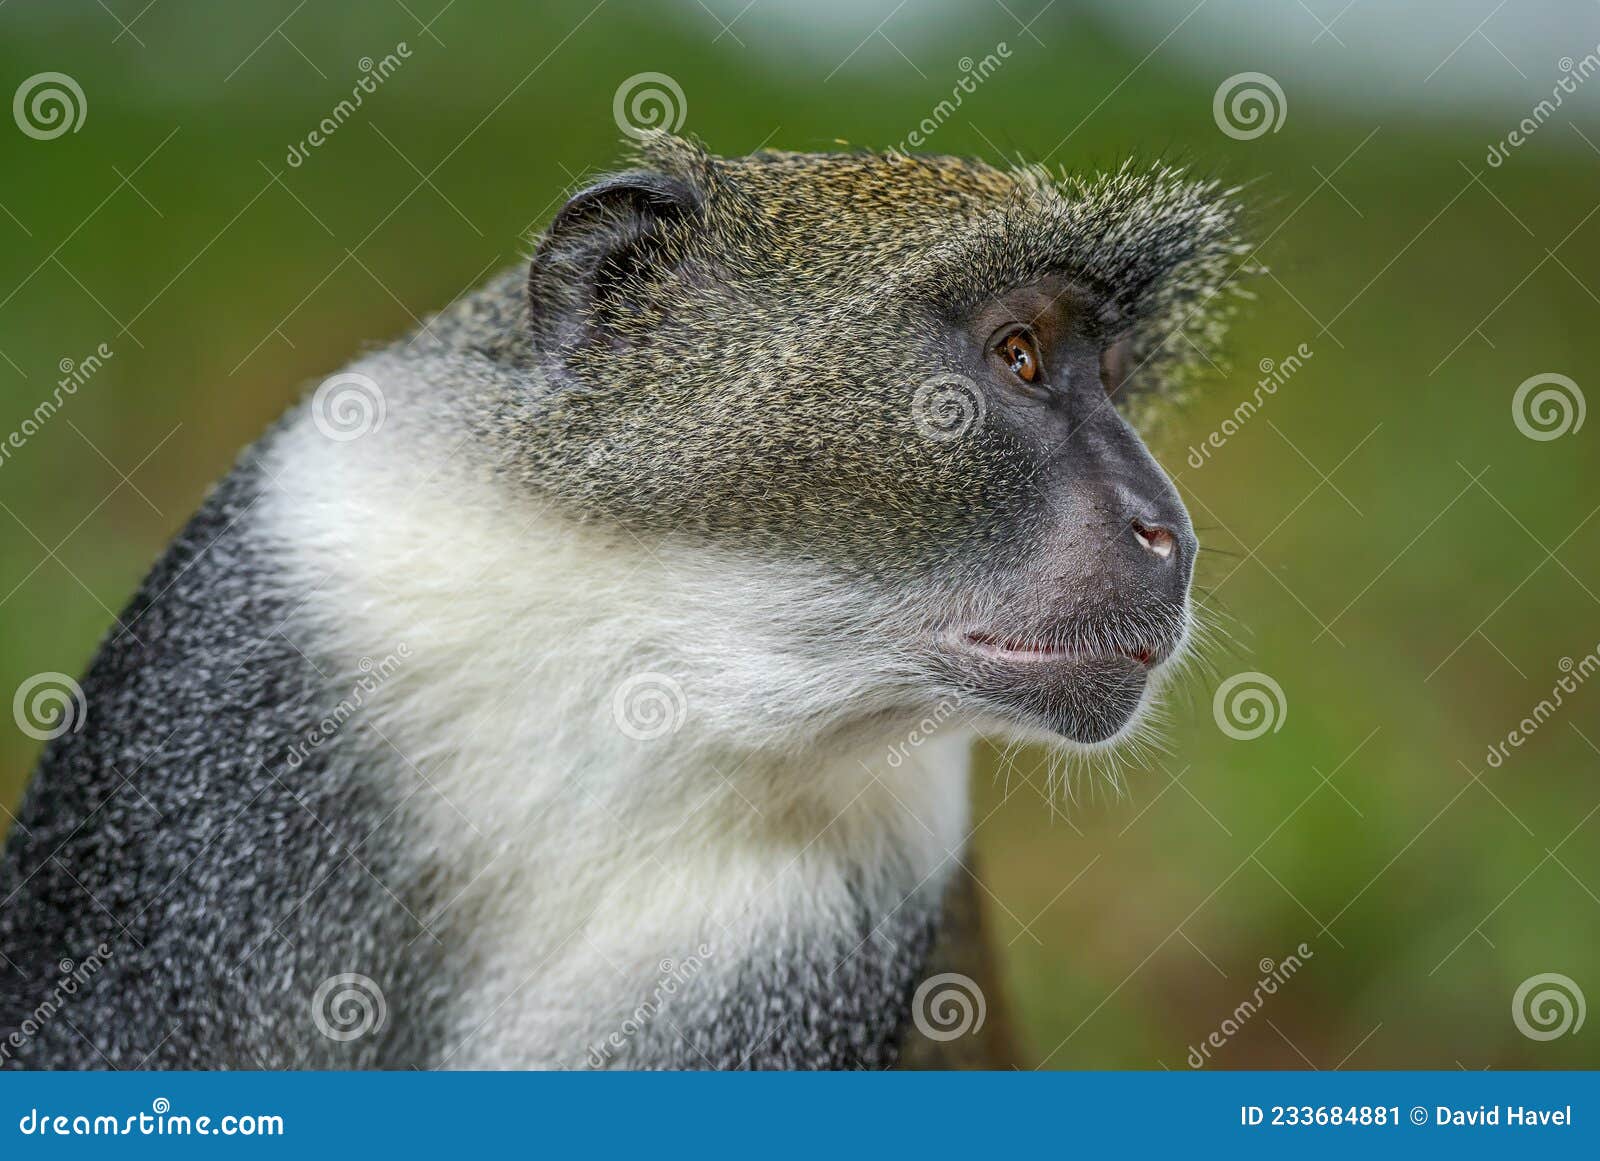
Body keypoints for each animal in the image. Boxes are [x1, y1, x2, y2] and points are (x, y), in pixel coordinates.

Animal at [0, 133, 1244, 1070]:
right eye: (1021, 354)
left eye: (1110, 374)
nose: (1168, 532)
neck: (648, 655)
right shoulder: (269, 622)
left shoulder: (817, 914)